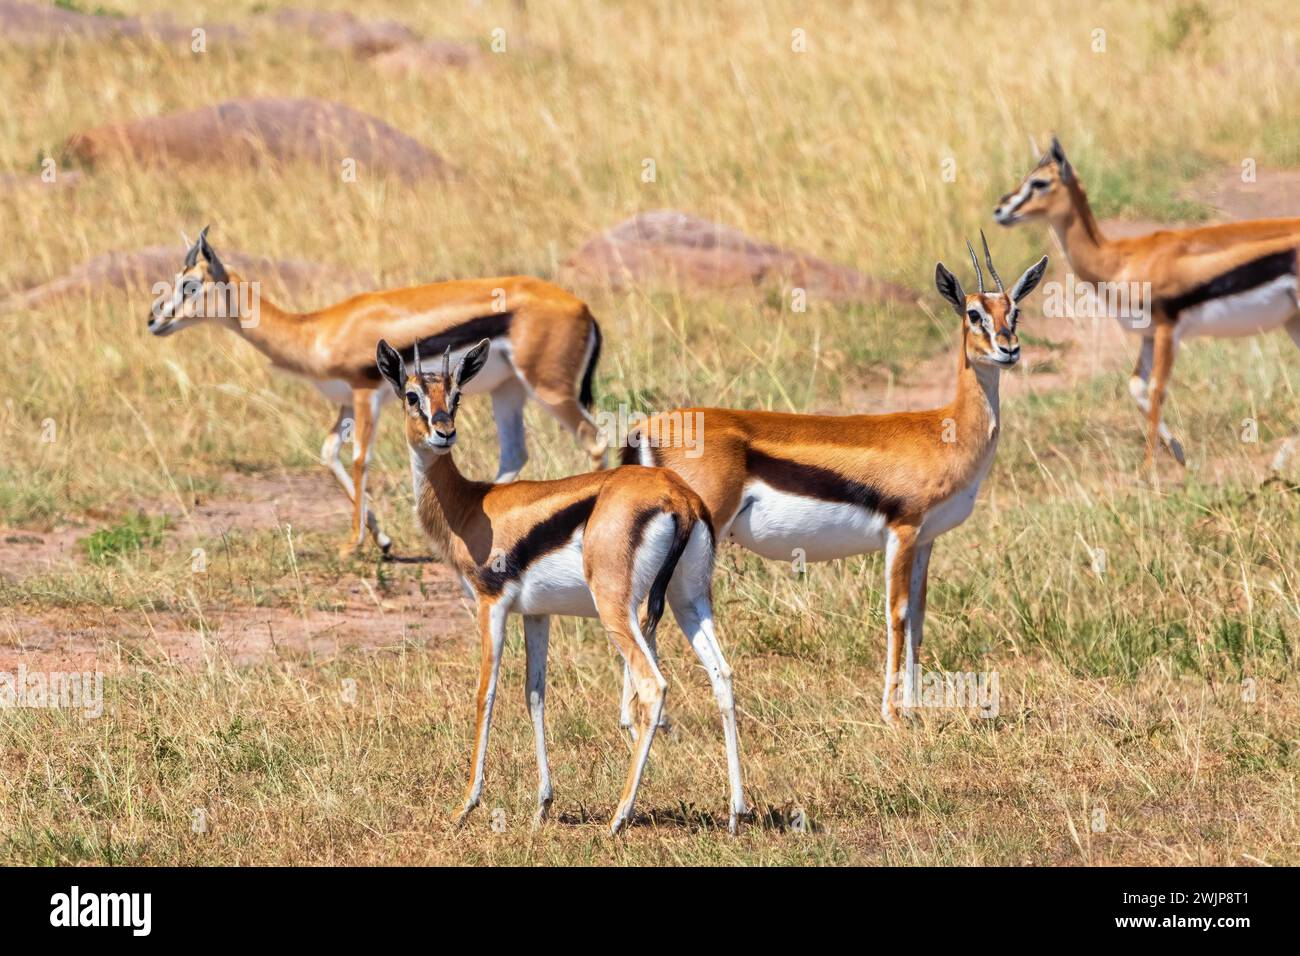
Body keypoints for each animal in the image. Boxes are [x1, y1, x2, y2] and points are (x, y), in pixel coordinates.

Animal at [148, 227, 607, 557]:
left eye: (190, 285)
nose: (154, 321)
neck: (316, 330)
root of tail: (583, 308)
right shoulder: (346, 404)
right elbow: (329, 453)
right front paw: (381, 540)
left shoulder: (365, 393)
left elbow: (358, 459)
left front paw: (352, 545)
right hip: (508, 391)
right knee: (514, 454)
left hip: (549, 390)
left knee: (595, 439)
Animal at [375, 337, 749, 834]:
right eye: (412, 395)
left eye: (455, 396)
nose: (443, 431)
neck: (471, 505)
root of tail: (679, 498)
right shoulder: (537, 613)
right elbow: (535, 695)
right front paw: (543, 804)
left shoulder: (491, 605)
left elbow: (485, 694)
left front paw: (465, 806)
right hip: (688, 602)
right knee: (721, 675)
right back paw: (736, 812)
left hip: (618, 610)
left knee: (653, 686)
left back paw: (619, 816)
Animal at [622, 237, 1049, 725]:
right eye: (974, 313)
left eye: (1014, 310)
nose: (1009, 349)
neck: (946, 429)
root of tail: (647, 428)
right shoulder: (902, 532)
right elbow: (897, 614)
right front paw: (892, 714)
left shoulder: (926, 539)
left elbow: (920, 616)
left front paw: (915, 709)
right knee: (644, 606)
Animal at [994, 137, 1300, 471]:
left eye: (1039, 182)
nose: (1000, 210)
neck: (1120, 260)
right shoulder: (1148, 335)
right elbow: (1136, 387)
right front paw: (1178, 453)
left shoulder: (1169, 330)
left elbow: (1156, 391)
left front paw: (1147, 468)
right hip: (1292, 323)